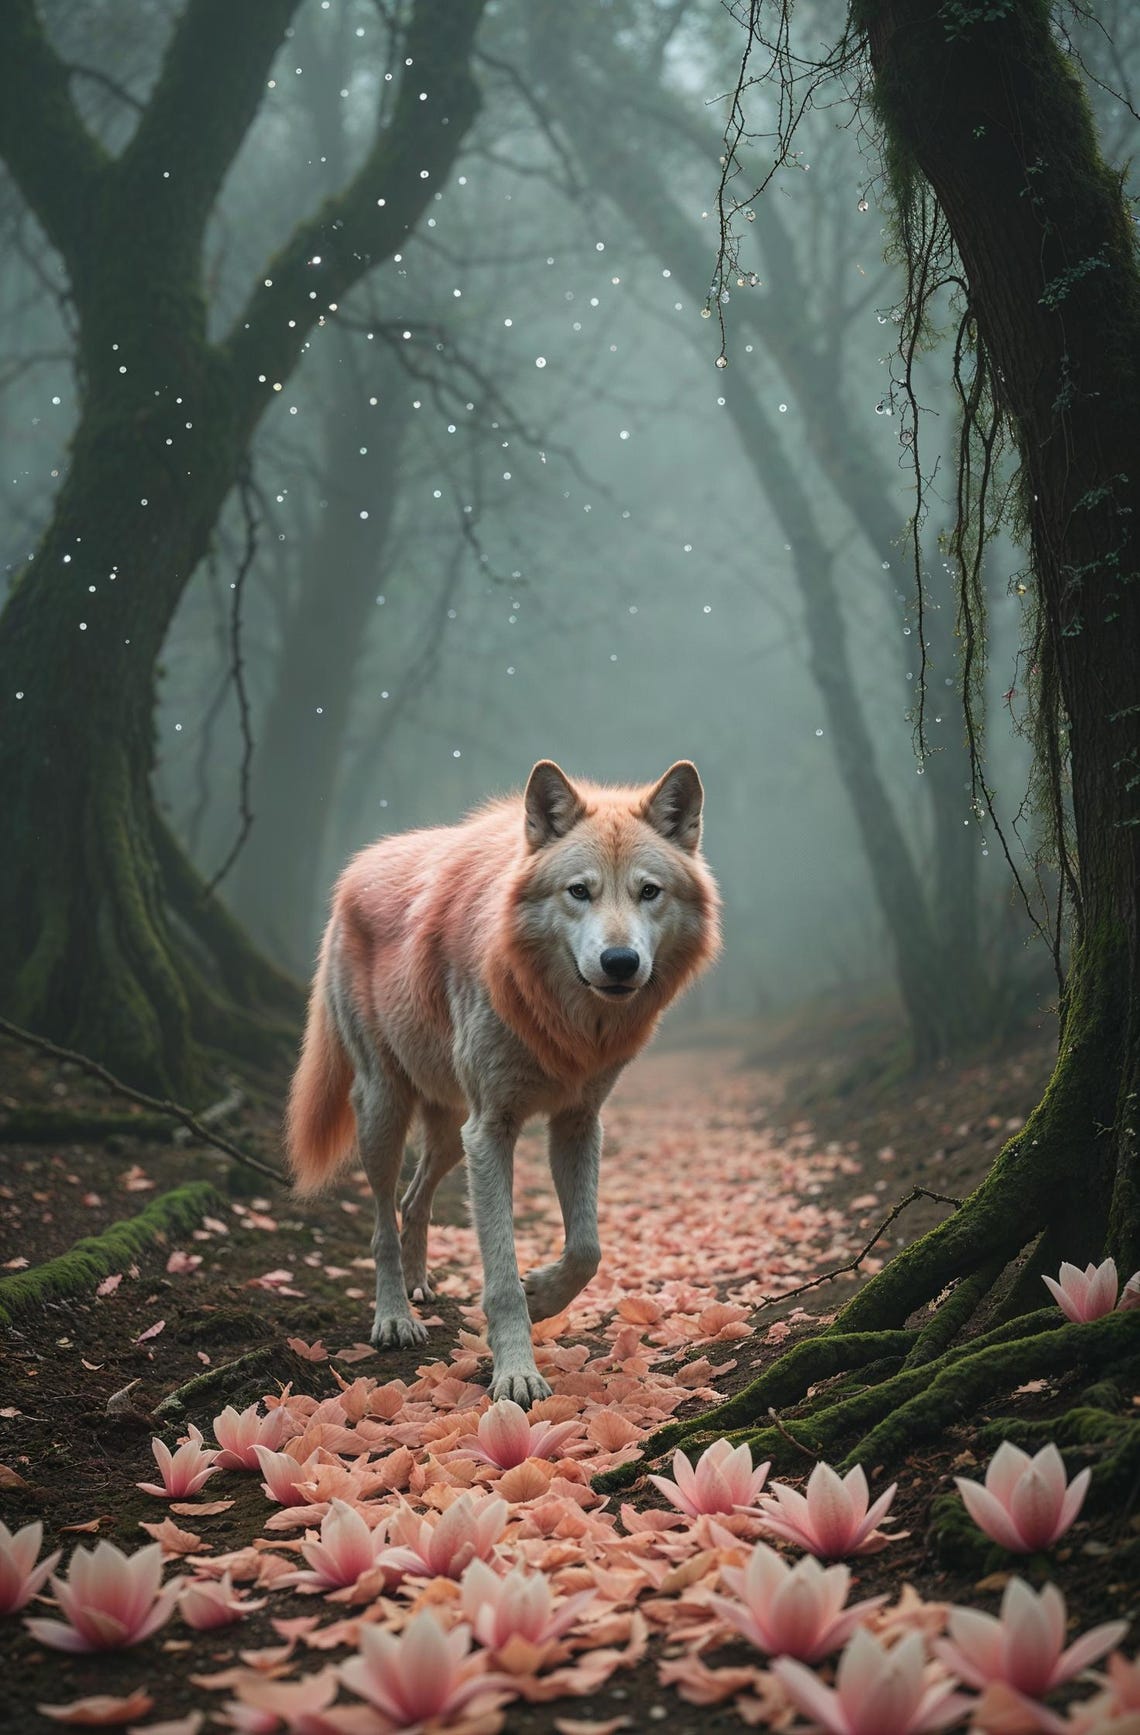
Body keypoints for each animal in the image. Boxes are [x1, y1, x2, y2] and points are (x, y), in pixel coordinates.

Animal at [286, 760, 720, 1406]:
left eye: (649, 891)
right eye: (579, 891)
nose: (620, 962)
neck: (562, 1022)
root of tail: (356, 868)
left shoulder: (576, 1123)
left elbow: (587, 1249)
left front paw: (542, 1292)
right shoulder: (492, 1130)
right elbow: (498, 1275)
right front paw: (516, 1372)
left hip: (449, 1133)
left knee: (413, 1201)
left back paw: (420, 1287)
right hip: (386, 1110)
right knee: (383, 1221)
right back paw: (395, 1317)